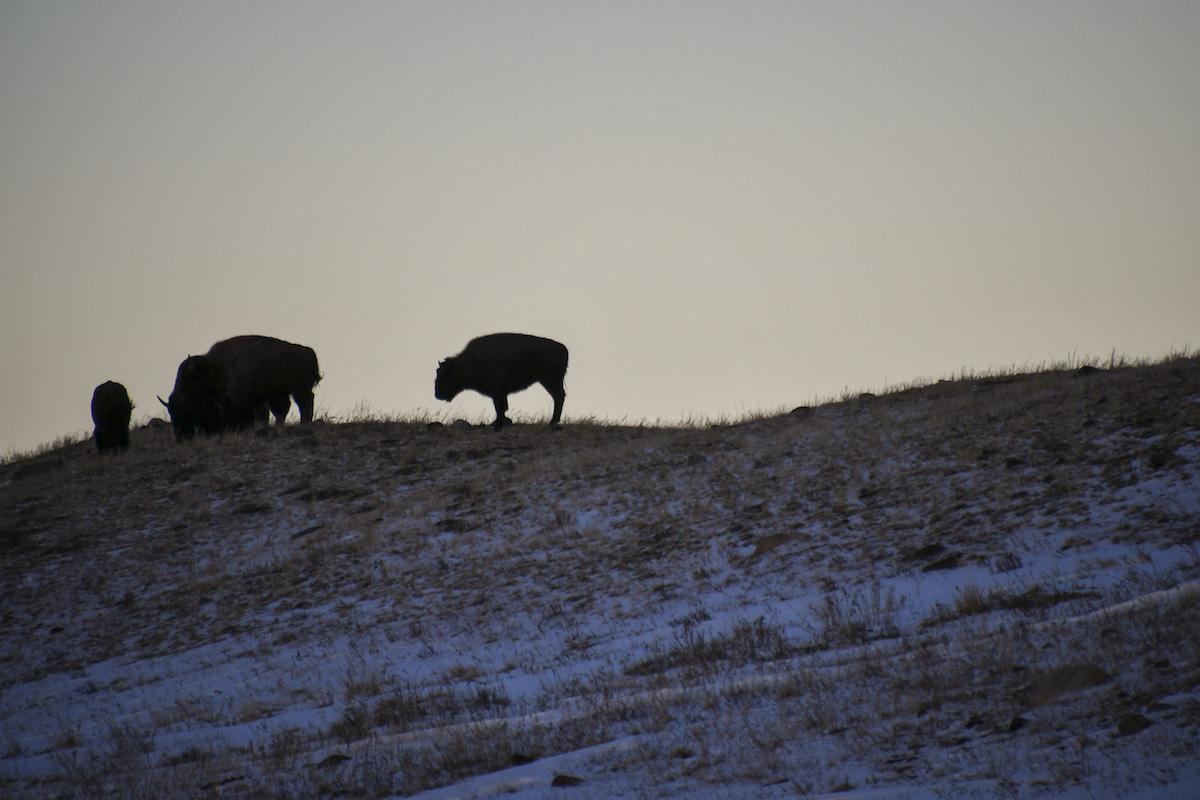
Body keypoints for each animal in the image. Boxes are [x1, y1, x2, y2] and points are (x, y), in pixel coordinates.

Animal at [435, 333, 568, 431]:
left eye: (445, 376)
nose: (437, 394)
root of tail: (563, 348)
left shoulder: (497, 391)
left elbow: (499, 408)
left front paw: (497, 426)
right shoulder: (501, 393)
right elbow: (502, 408)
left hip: (550, 380)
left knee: (558, 396)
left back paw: (553, 421)